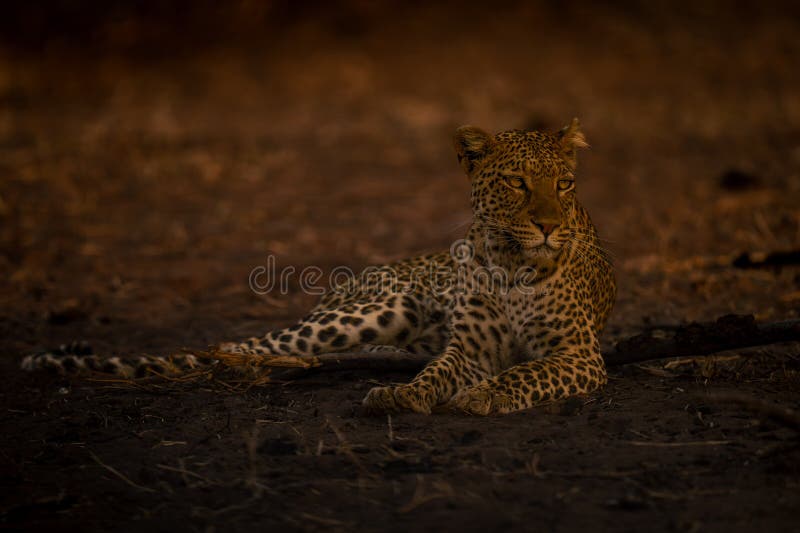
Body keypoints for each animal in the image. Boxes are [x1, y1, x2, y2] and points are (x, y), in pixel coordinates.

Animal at [22, 119, 615, 416]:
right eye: (517, 182)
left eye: (564, 183)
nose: (549, 226)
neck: (511, 262)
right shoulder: (469, 350)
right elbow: (437, 371)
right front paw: (407, 394)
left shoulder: (577, 354)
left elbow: (525, 371)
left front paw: (483, 395)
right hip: (378, 309)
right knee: (225, 347)